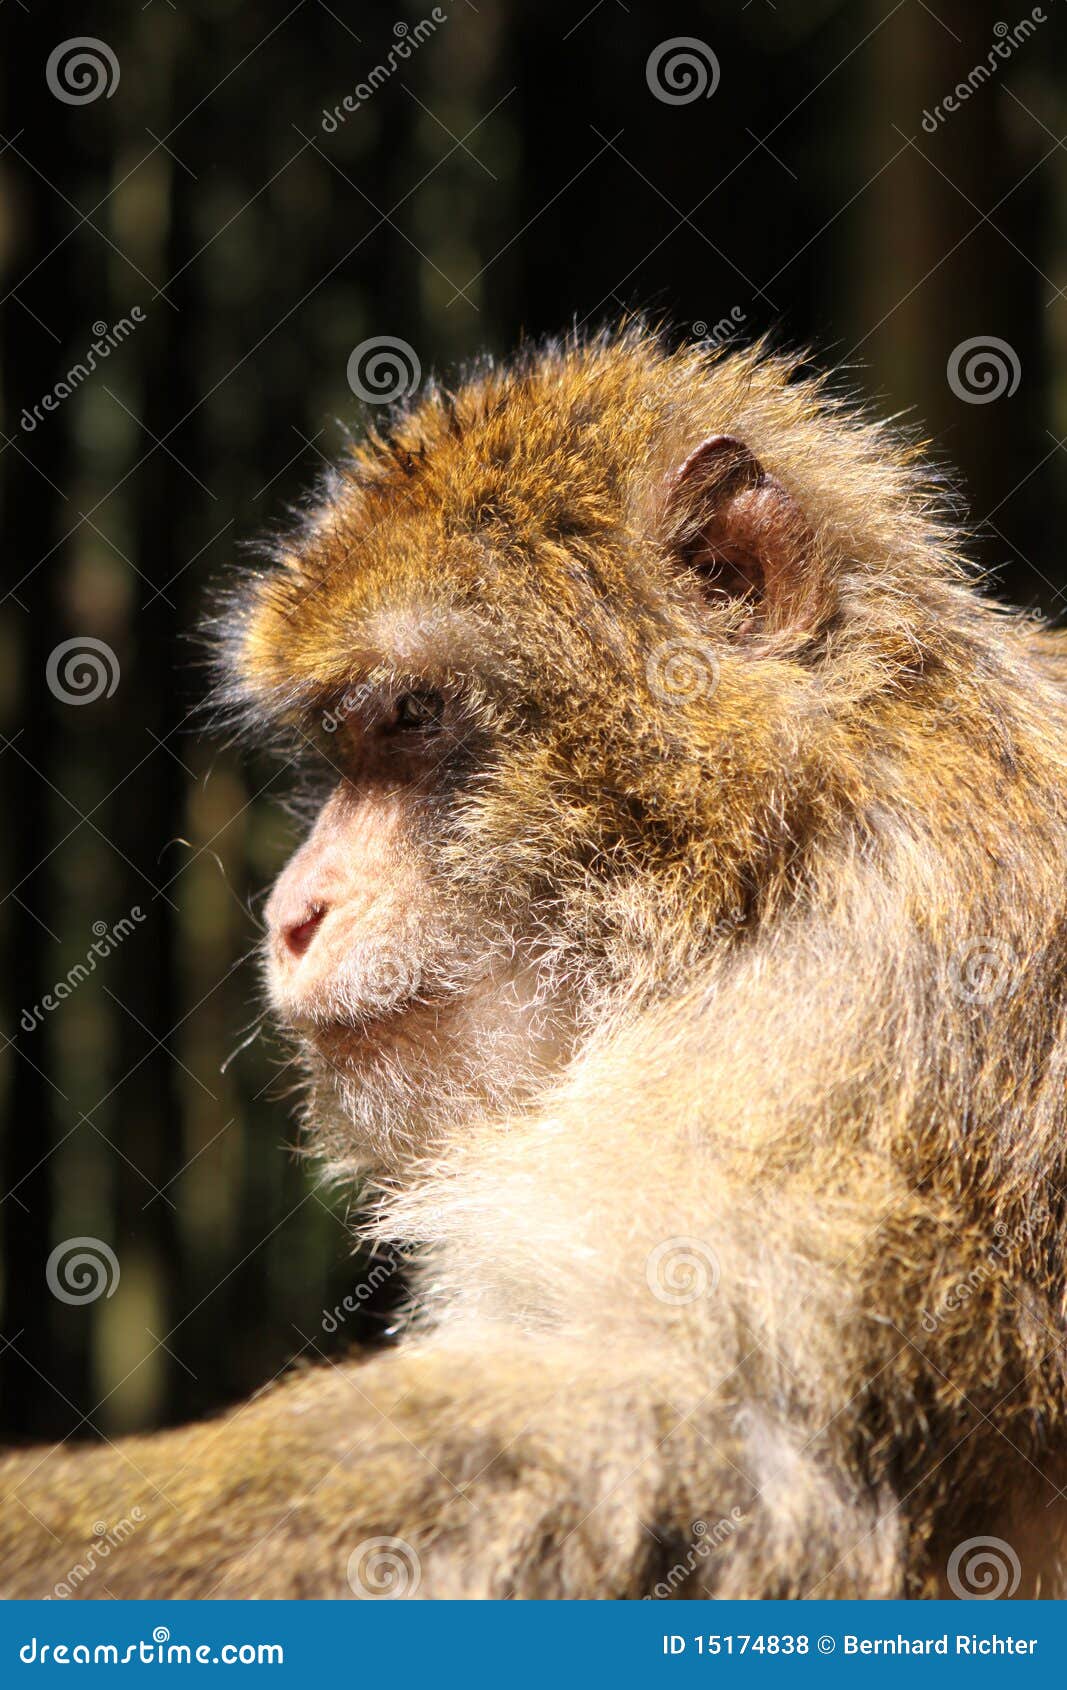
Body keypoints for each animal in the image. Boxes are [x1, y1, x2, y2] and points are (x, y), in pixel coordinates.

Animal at [3, 324, 1067, 1600]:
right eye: (344, 744)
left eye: (412, 717)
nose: (291, 911)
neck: (773, 849)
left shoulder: (860, 1004)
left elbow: (664, 1429)